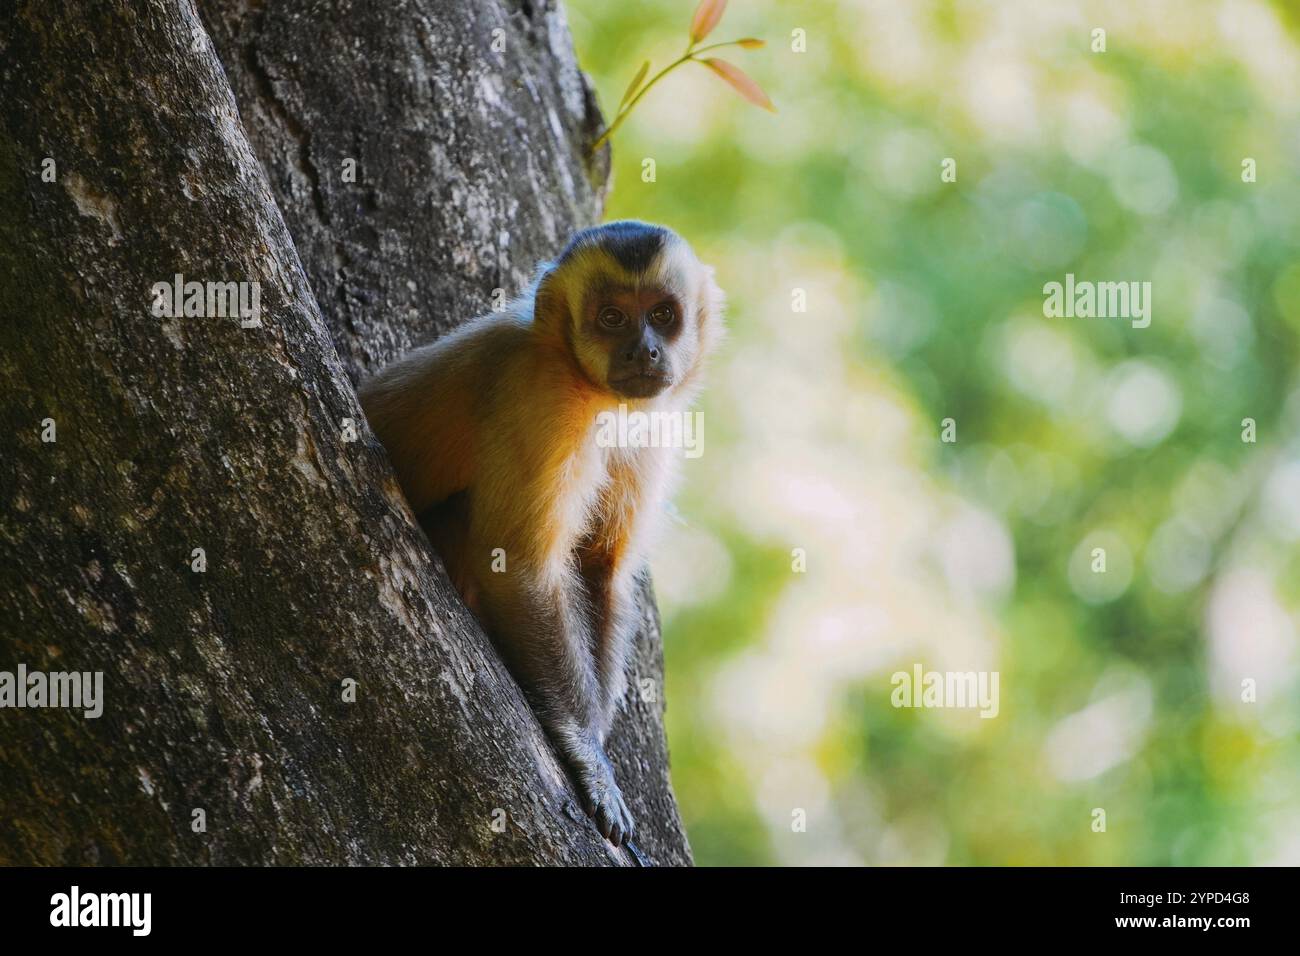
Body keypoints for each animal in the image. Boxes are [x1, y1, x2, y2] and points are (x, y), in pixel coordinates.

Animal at [358, 221, 724, 847]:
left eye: (663, 314)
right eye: (611, 318)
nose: (644, 350)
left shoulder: (649, 425)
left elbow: (600, 566)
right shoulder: (542, 396)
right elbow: (519, 566)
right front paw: (587, 752)